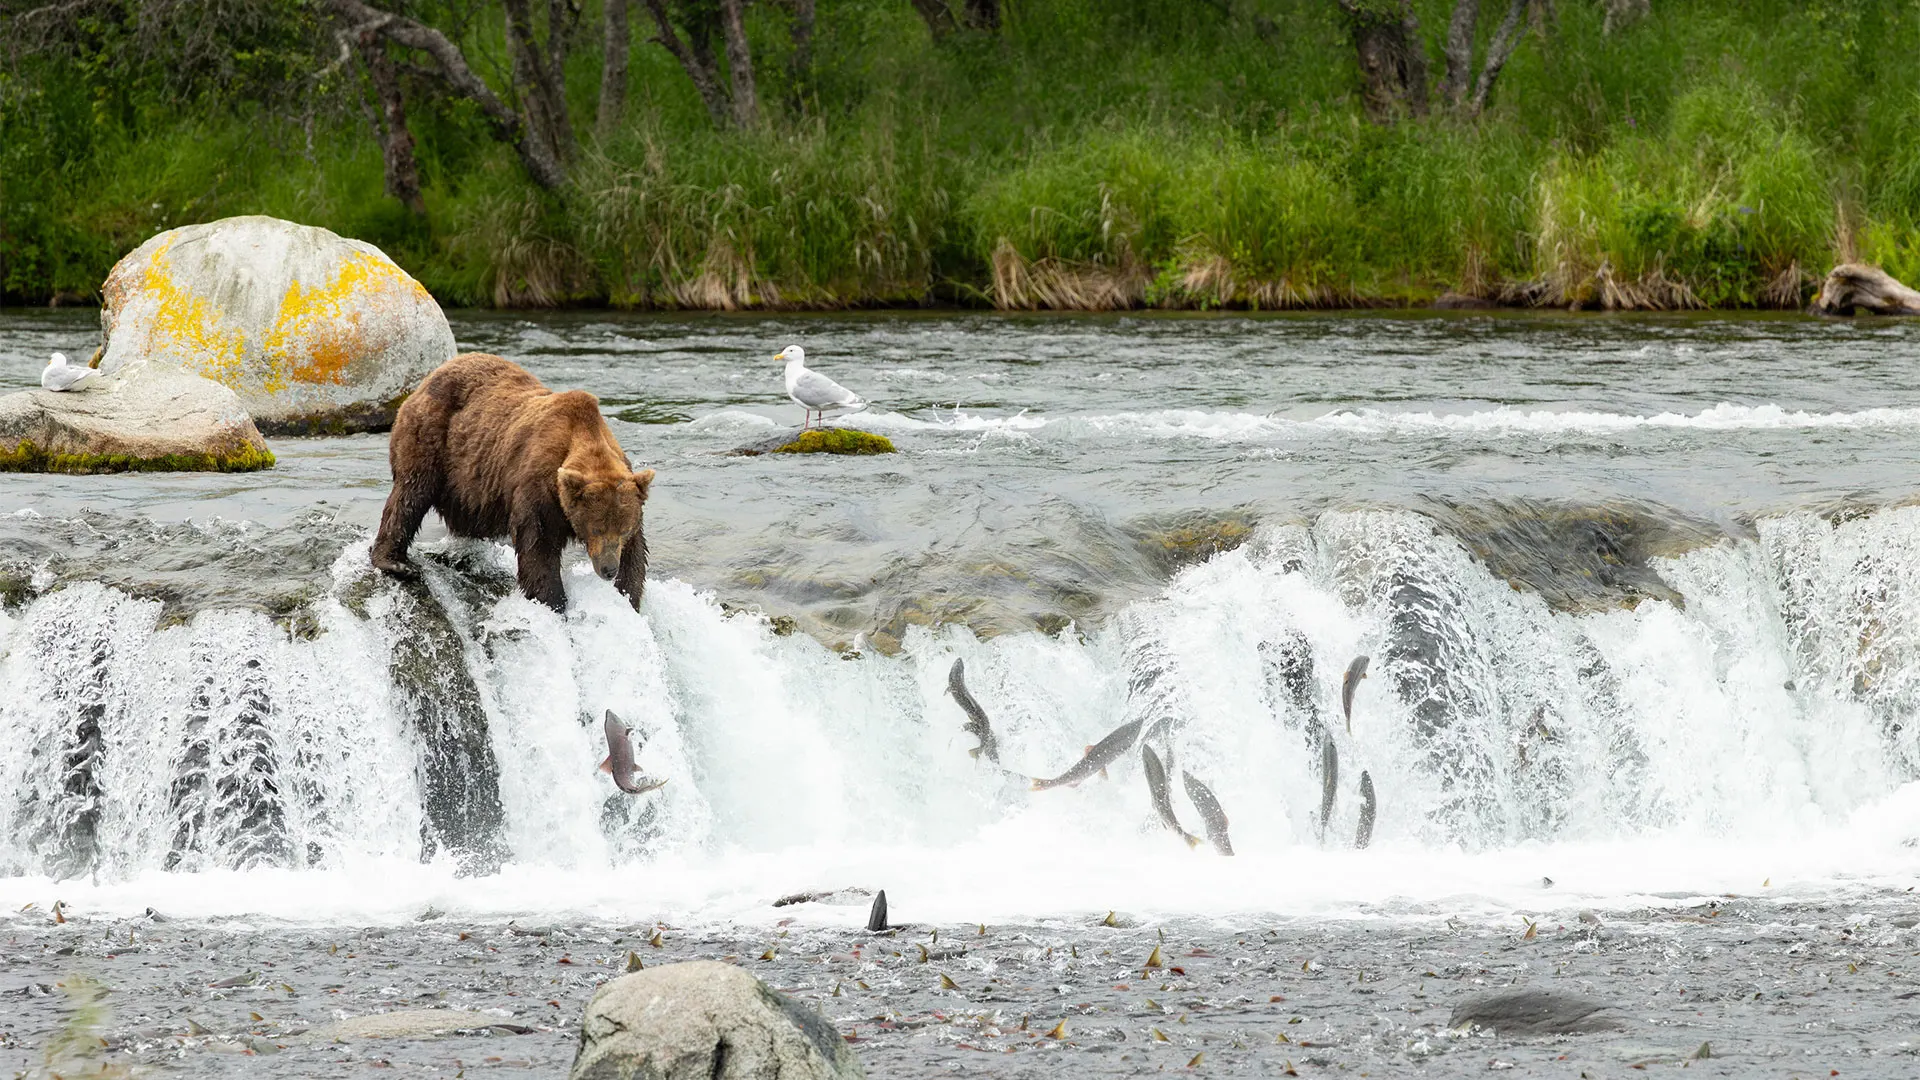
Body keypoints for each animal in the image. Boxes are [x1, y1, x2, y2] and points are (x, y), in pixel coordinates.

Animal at [371, 353, 653, 612]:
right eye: (595, 529)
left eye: (623, 530)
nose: (608, 568)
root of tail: (431, 375)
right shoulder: (539, 487)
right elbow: (538, 545)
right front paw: (552, 601)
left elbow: (636, 554)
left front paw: (628, 597)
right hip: (431, 433)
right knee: (411, 492)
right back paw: (395, 563)